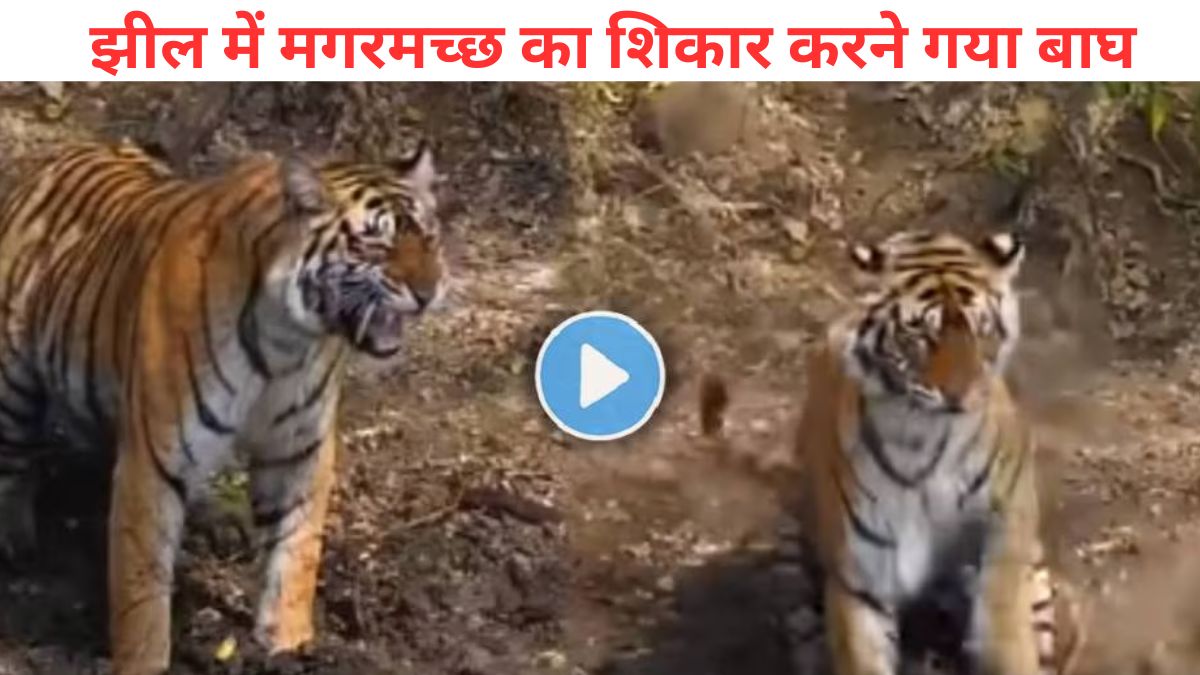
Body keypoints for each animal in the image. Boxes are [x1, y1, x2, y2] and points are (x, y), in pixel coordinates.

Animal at [0, 138, 445, 675]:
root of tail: (63, 153)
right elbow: (141, 586)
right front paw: (145, 660)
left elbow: (295, 553)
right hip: (12, 379)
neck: (288, 341)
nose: (430, 293)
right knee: (14, 462)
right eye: (375, 244)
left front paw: (290, 646)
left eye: (431, 238)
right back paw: (17, 544)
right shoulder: (154, 459)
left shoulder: (298, 450)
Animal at [698, 231, 1084, 675]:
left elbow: (1008, 640)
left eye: (981, 330)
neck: (928, 439)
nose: (961, 394)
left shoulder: (1004, 537)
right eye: (921, 336)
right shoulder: (861, 578)